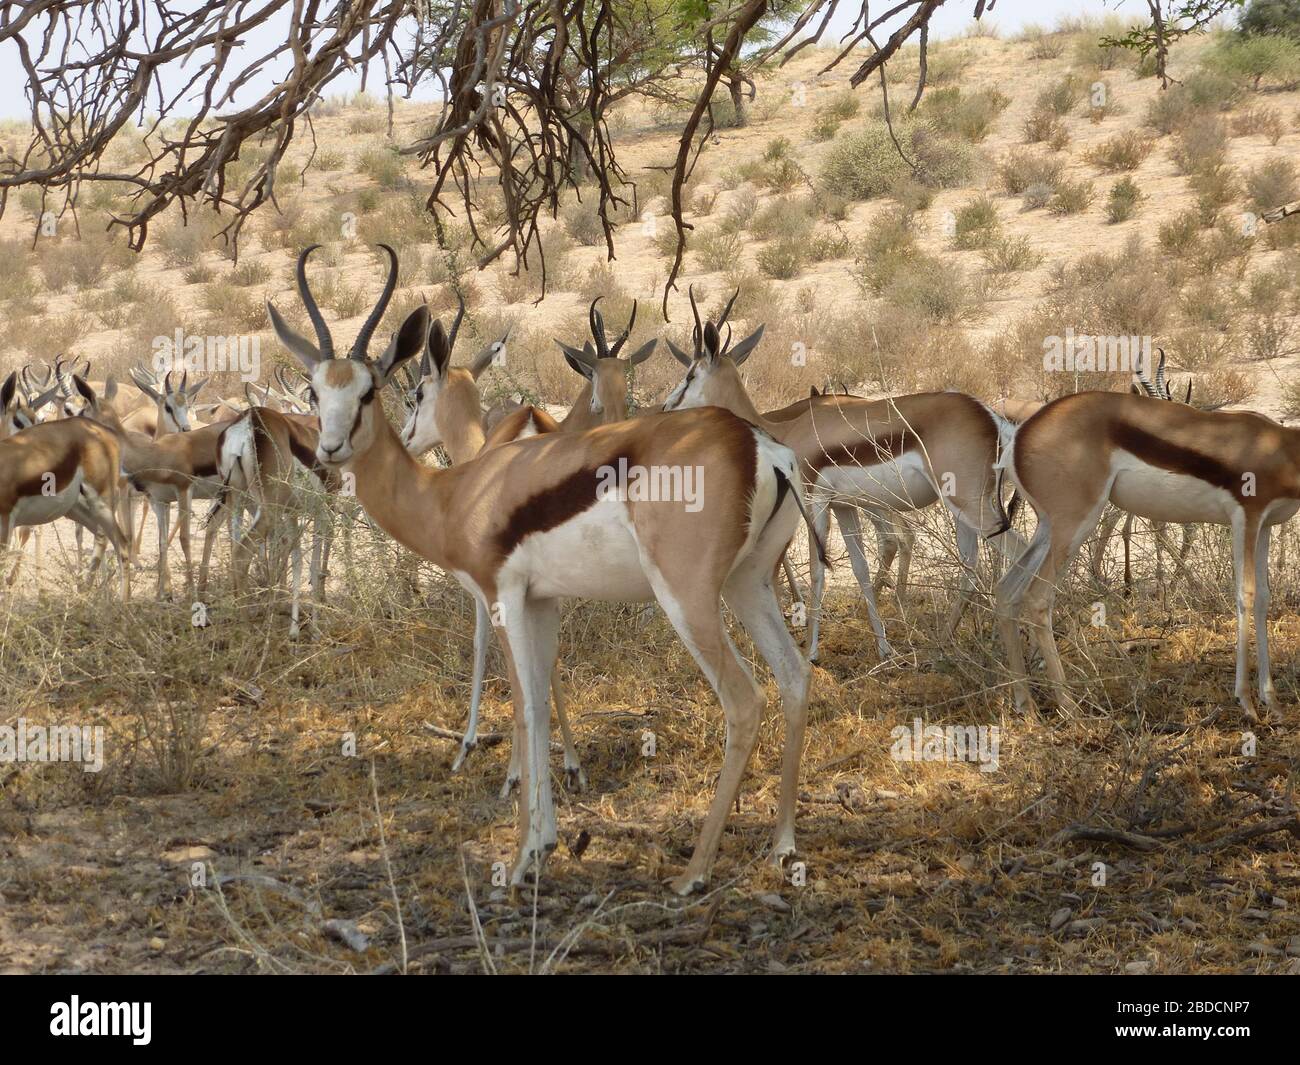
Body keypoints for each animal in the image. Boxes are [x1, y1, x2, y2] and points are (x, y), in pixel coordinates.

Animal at [270, 244, 813, 893]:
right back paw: (781, 846)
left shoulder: (501, 595)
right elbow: (543, 700)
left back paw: (694, 873)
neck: (454, 492)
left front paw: (524, 854)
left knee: (744, 700)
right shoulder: (543, 601)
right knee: (796, 675)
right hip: (748, 585)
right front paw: (547, 839)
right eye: (312, 391)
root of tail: (757, 445)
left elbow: (526, 707)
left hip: (688, 598)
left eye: (375, 392)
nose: (328, 450)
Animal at [663, 289, 1024, 661]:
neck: (786, 430)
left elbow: (818, 571)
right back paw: (944, 645)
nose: (666, 407)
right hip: (965, 510)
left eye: (690, 375)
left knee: (1016, 558)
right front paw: (883, 648)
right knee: (972, 571)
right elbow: (861, 570)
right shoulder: (844, 506)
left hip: (969, 505)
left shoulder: (815, 501)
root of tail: (991, 417)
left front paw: (812, 651)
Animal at [995, 390, 1300, 722]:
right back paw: (1070, 707)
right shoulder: (1246, 517)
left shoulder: (1266, 525)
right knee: (1038, 597)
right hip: (1075, 524)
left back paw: (1027, 705)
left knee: (1007, 590)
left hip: (1048, 529)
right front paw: (1247, 702)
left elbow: (1264, 598)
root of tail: (1022, 434)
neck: (1280, 446)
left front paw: (1272, 701)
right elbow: (1246, 595)